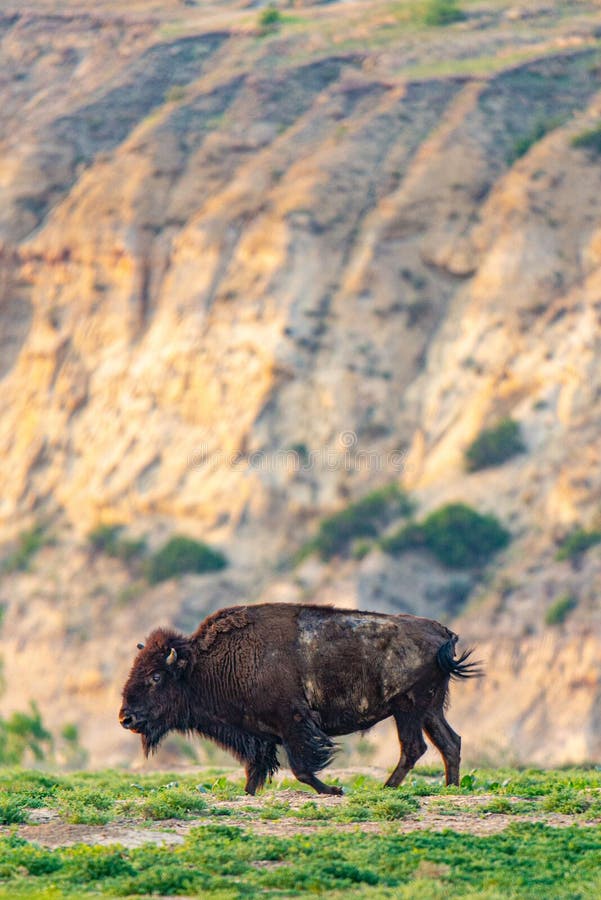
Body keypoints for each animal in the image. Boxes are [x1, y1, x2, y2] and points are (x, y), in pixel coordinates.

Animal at [119, 603, 480, 795]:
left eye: (156, 676)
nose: (126, 718)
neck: (204, 666)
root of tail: (443, 633)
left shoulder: (293, 722)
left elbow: (301, 768)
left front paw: (335, 790)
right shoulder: (259, 735)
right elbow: (256, 770)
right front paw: (249, 793)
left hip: (408, 709)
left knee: (415, 748)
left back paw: (388, 788)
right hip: (430, 709)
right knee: (450, 742)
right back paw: (451, 788)